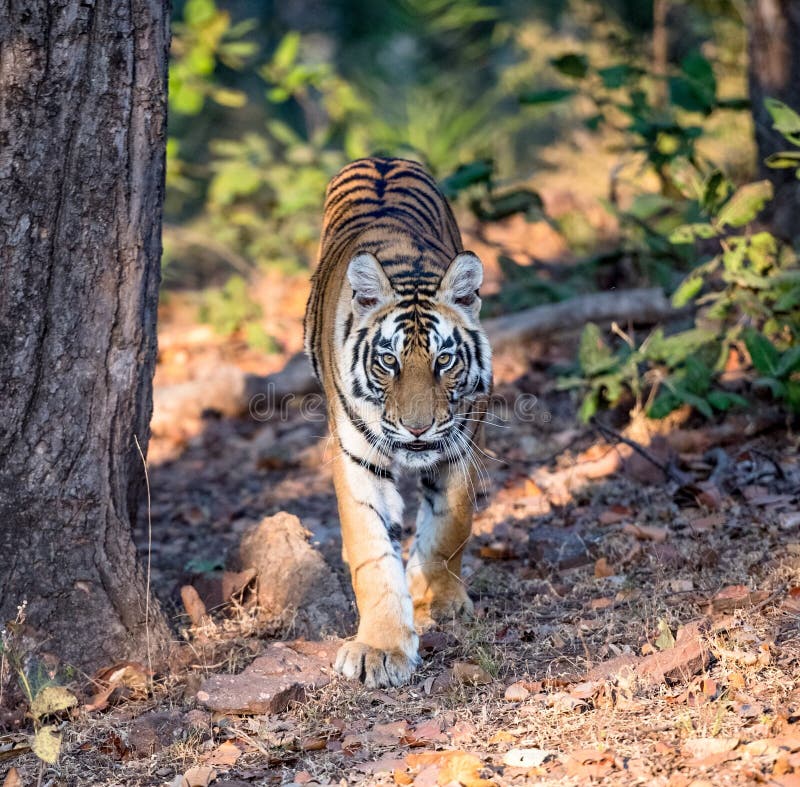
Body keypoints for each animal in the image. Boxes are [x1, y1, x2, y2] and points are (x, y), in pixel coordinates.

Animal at [304, 156, 492, 688]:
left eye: (444, 360)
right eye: (388, 361)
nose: (417, 428)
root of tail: (382, 155)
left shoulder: (462, 441)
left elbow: (451, 524)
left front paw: (437, 601)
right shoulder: (357, 460)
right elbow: (372, 550)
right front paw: (381, 649)